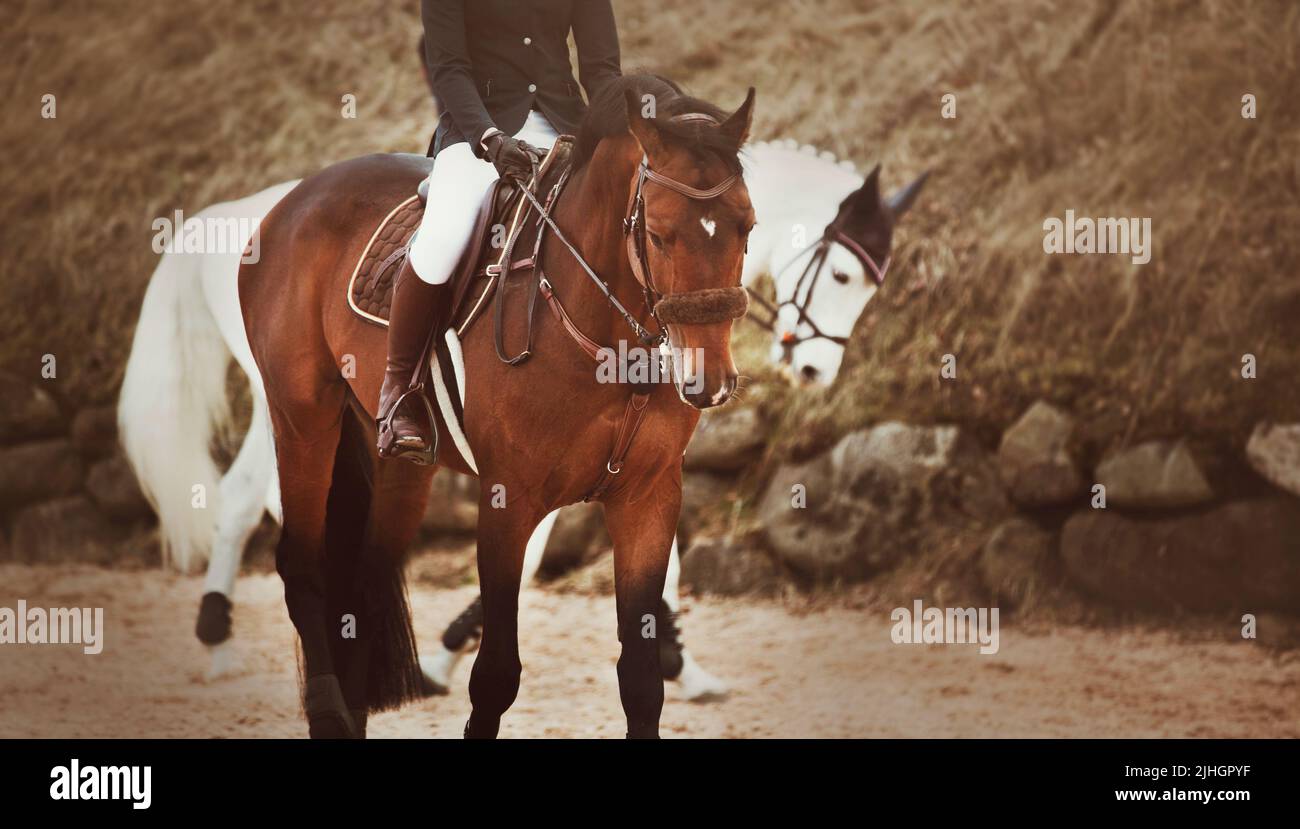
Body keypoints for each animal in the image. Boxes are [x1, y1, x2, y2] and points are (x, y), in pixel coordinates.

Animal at [118, 140, 926, 700]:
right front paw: (451, 650)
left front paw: (675, 660)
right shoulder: (525, 462)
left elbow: (598, 555)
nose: (816, 370)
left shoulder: (622, 466)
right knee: (251, 499)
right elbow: (532, 551)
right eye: (842, 275)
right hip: (293, 401)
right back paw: (225, 642)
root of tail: (259, 208)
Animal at [231, 76, 756, 738]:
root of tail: (296, 197)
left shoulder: (649, 499)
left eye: (747, 227)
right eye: (659, 234)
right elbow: (496, 676)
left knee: (369, 575)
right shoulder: (509, 502)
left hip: (401, 463)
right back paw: (330, 714)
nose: (708, 382)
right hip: (303, 419)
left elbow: (640, 682)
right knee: (303, 565)